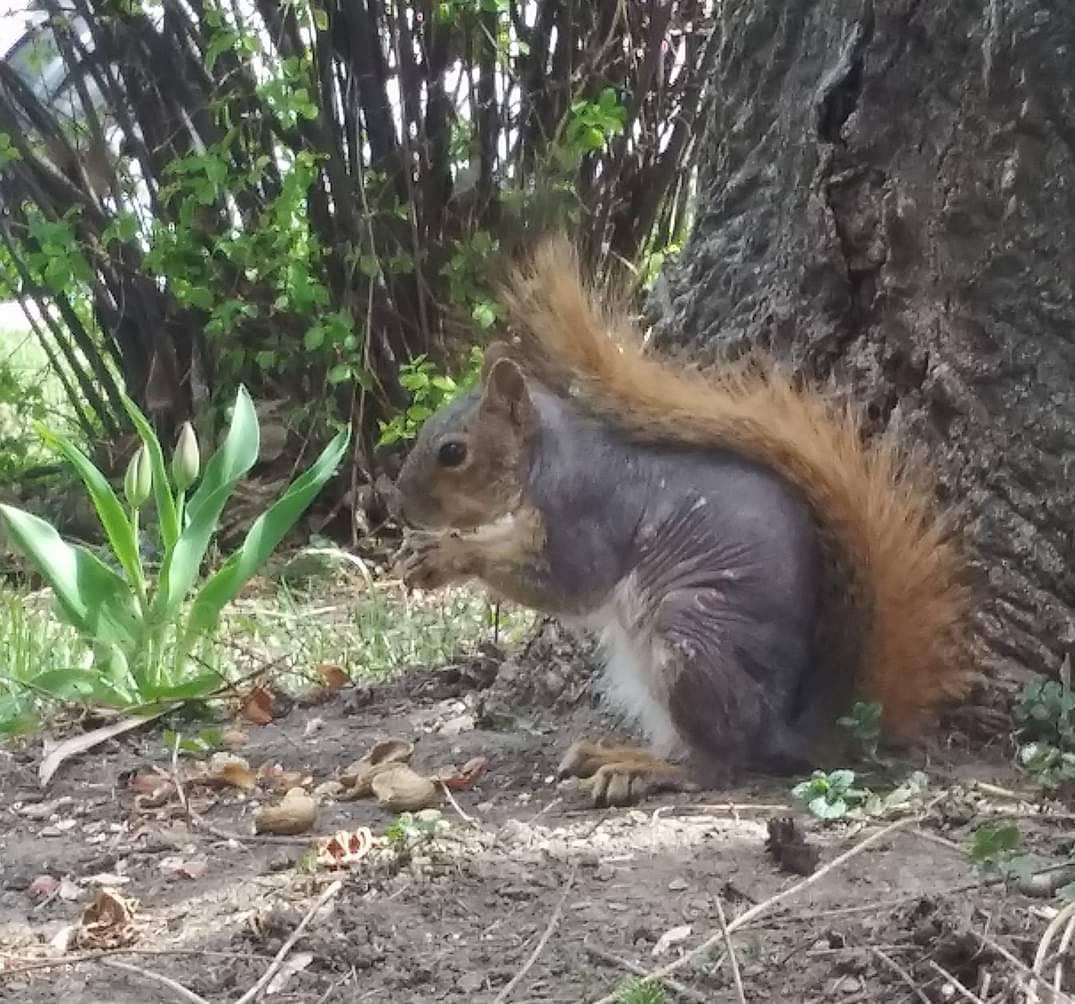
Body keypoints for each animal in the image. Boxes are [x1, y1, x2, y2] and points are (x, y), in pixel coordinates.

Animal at [391, 236, 973, 808]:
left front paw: (449, 553)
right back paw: (609, 754)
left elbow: (563, 582)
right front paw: (421, 551)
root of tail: (783, 730)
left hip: (688, 637)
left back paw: (640, 770)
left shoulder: (587, 513)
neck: (547, 454)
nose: (400, 504)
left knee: (714, 765)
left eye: (452, 452)